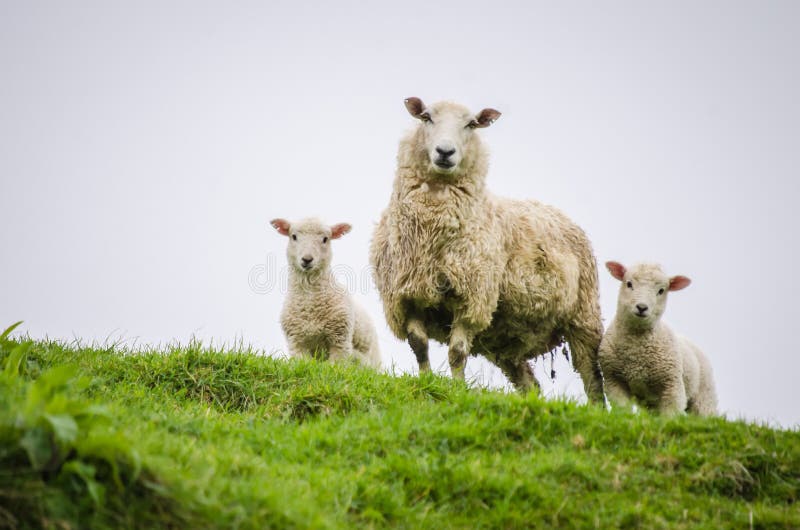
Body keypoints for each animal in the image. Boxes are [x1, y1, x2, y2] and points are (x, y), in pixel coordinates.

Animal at [271, 217, 381, 369]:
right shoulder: (297, 343)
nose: (307, 259)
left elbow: (334, 367)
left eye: (325, 239)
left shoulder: (340, 341)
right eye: (293, 236)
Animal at [369, 97, 605, 402]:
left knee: (592, 377)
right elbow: (419, 345)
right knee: (530, 383)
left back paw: (599, 407)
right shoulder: (405, 297)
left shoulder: (473, 297)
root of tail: (559, 214)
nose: (445, 152)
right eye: (427, 117)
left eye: (471, 124)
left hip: (584, 316)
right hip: (506, 339)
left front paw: (457, 389)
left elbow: (457, 353)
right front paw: (426, 382)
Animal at [598, 261, 717, 416]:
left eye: (661, 290)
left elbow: (670, 417)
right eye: (629, 284)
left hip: (704, 395)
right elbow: (623, 410)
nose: (642, 307)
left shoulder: (672, 386)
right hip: (652, 403)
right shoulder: (614, 381)